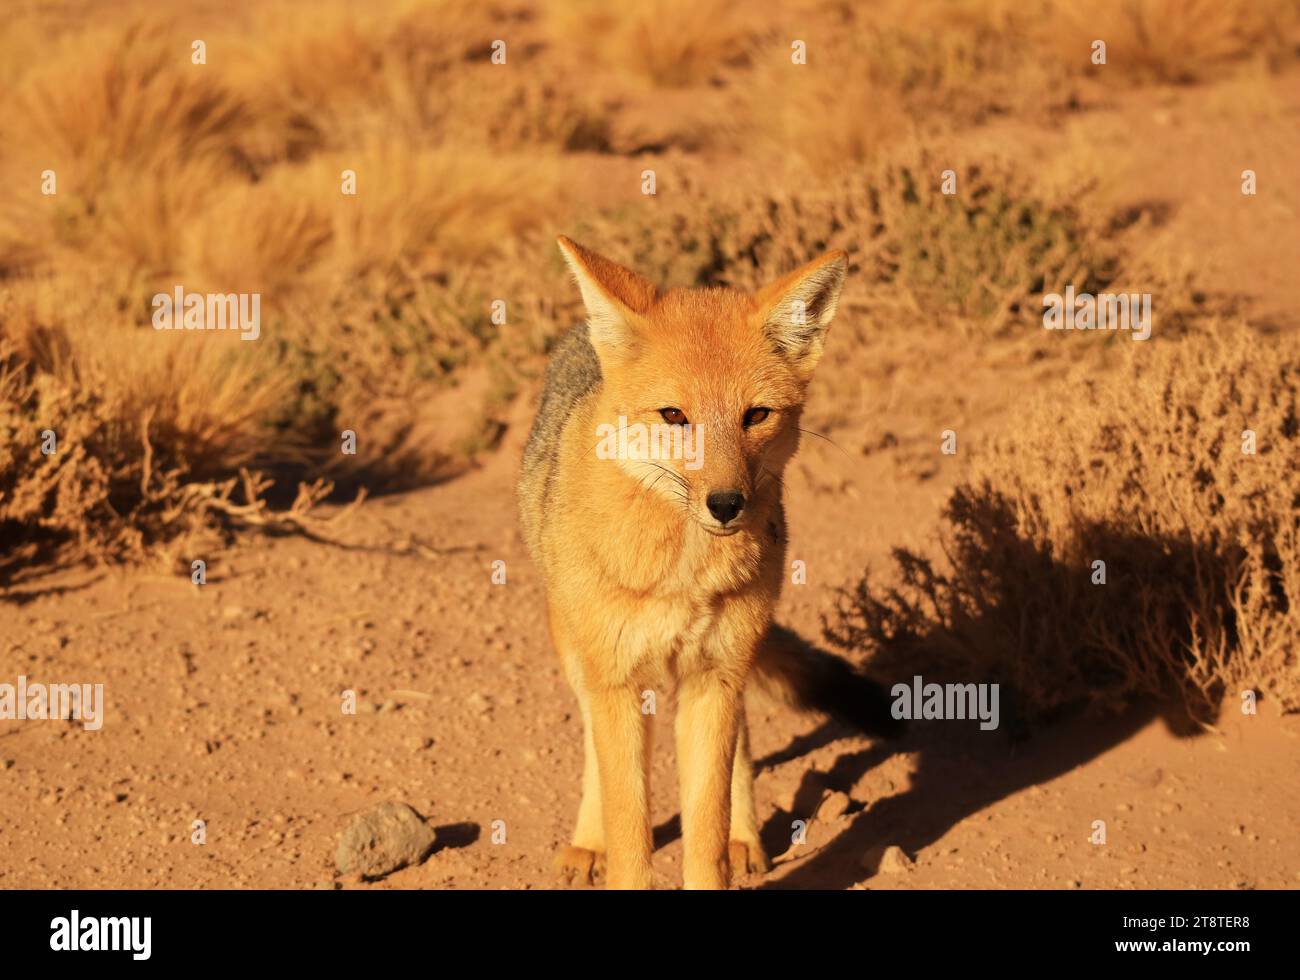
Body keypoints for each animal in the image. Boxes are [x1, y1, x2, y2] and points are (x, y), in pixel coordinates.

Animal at [518, 236, 902, 889]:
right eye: (674, 415)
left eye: (756, 415)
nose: (726, 504)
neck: (683, 575)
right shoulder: (617, 681)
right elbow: (631, 835)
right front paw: (610, 848)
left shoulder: (713, 678)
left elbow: (706, 828)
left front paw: (728, 841)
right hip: (579, 657)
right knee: (595, 747)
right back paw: (587, 843)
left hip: (731, 664)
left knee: (739, 745)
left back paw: (746, 837)